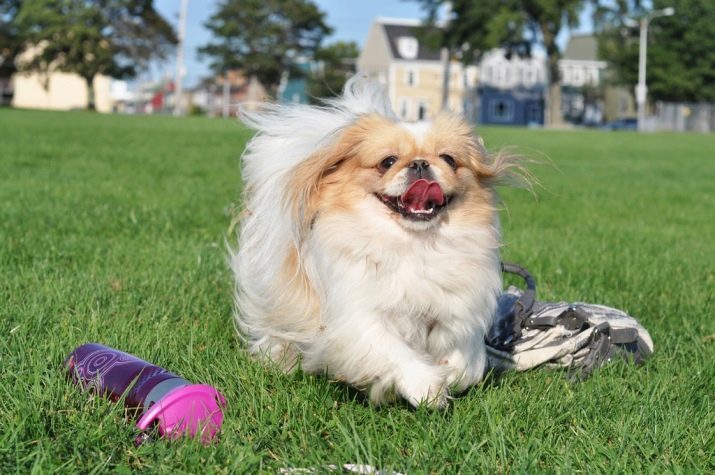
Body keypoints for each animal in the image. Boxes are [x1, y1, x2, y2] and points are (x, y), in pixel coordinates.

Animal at [231, 79, 516, 410]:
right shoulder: (358, 319)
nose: (420, 163)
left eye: (448, 159)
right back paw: (280, 359)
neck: (416, 245)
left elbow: (466, 358)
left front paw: (451, 373)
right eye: (388, 162)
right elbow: (394, 351)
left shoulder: (458, 311)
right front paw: (426, 386)